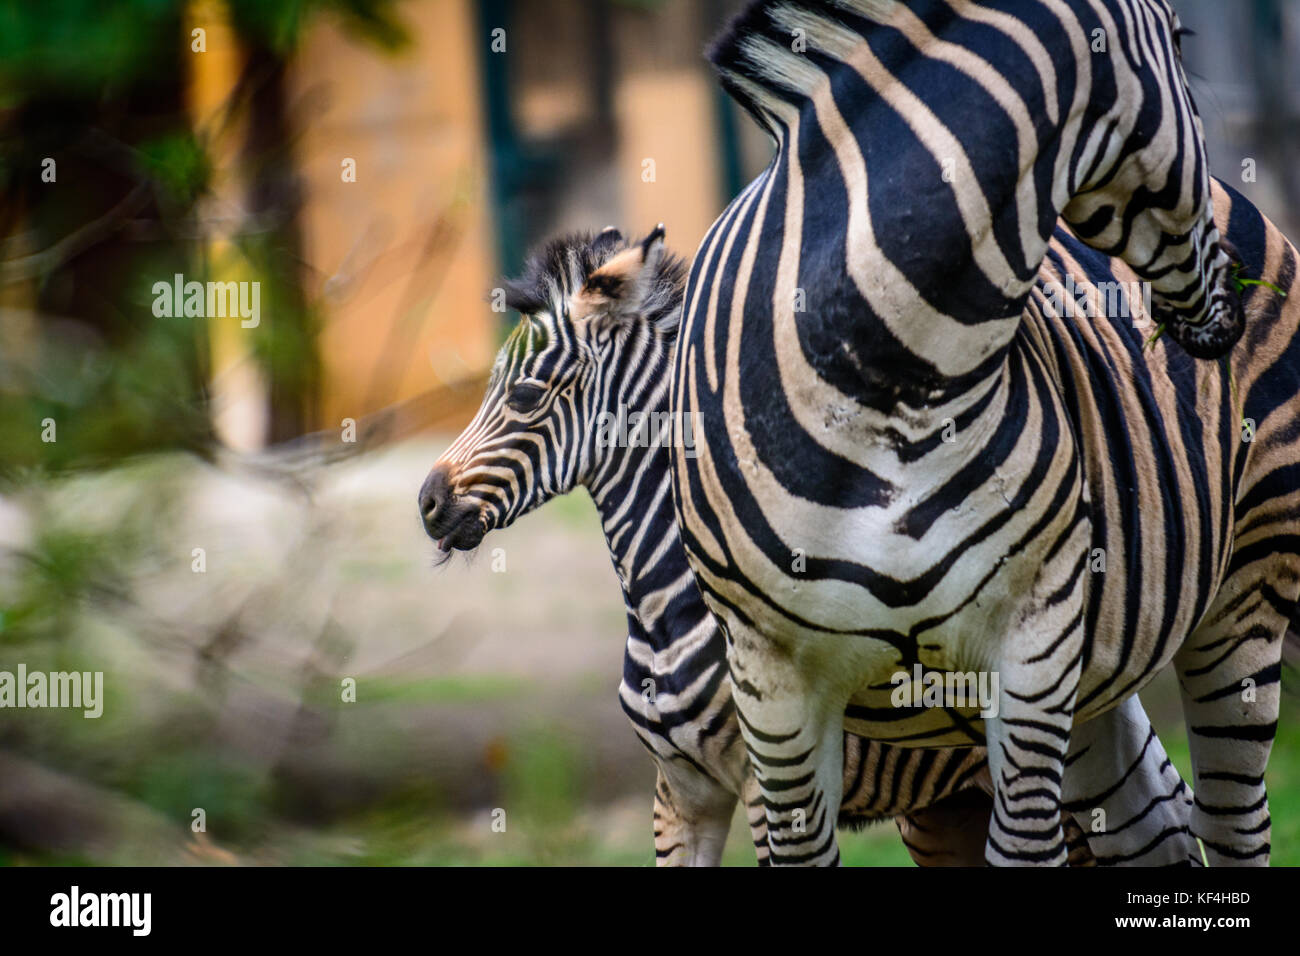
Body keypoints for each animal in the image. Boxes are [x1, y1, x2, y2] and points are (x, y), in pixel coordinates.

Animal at [419, 225, 1200, 866]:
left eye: (524, 395)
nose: (427, 504)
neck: (661, 606)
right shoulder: (681, 792)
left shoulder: (768, 786)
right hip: (951, 808)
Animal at [671, 0, 1296, 865]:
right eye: (1181, 41)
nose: (1233, 298)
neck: (887, 378)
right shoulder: (769, 679)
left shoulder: (1034, 637)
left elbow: (1026, 847)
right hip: (1100, 675)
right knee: (1158, 828)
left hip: (1246, 592)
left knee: (1236, 823)